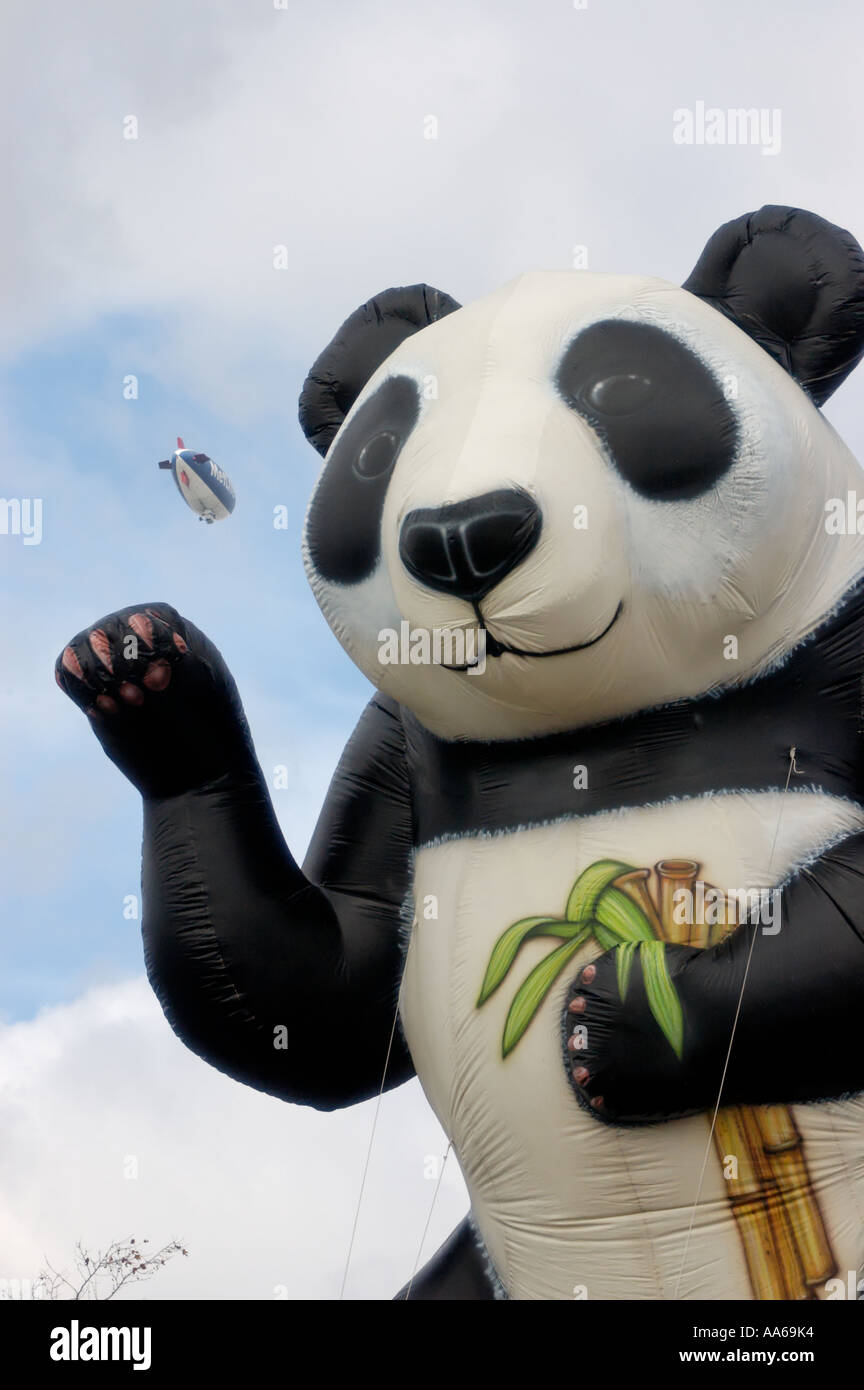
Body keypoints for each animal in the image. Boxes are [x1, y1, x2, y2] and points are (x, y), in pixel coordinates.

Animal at [57, 205, 864, 1301]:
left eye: (621, 388)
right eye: (376, 450)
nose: (463, 537)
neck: (596, 732)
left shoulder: (838, 662)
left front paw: (626, 1017)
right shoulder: (406, 751)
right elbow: (323, 992)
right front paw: (140, 673)